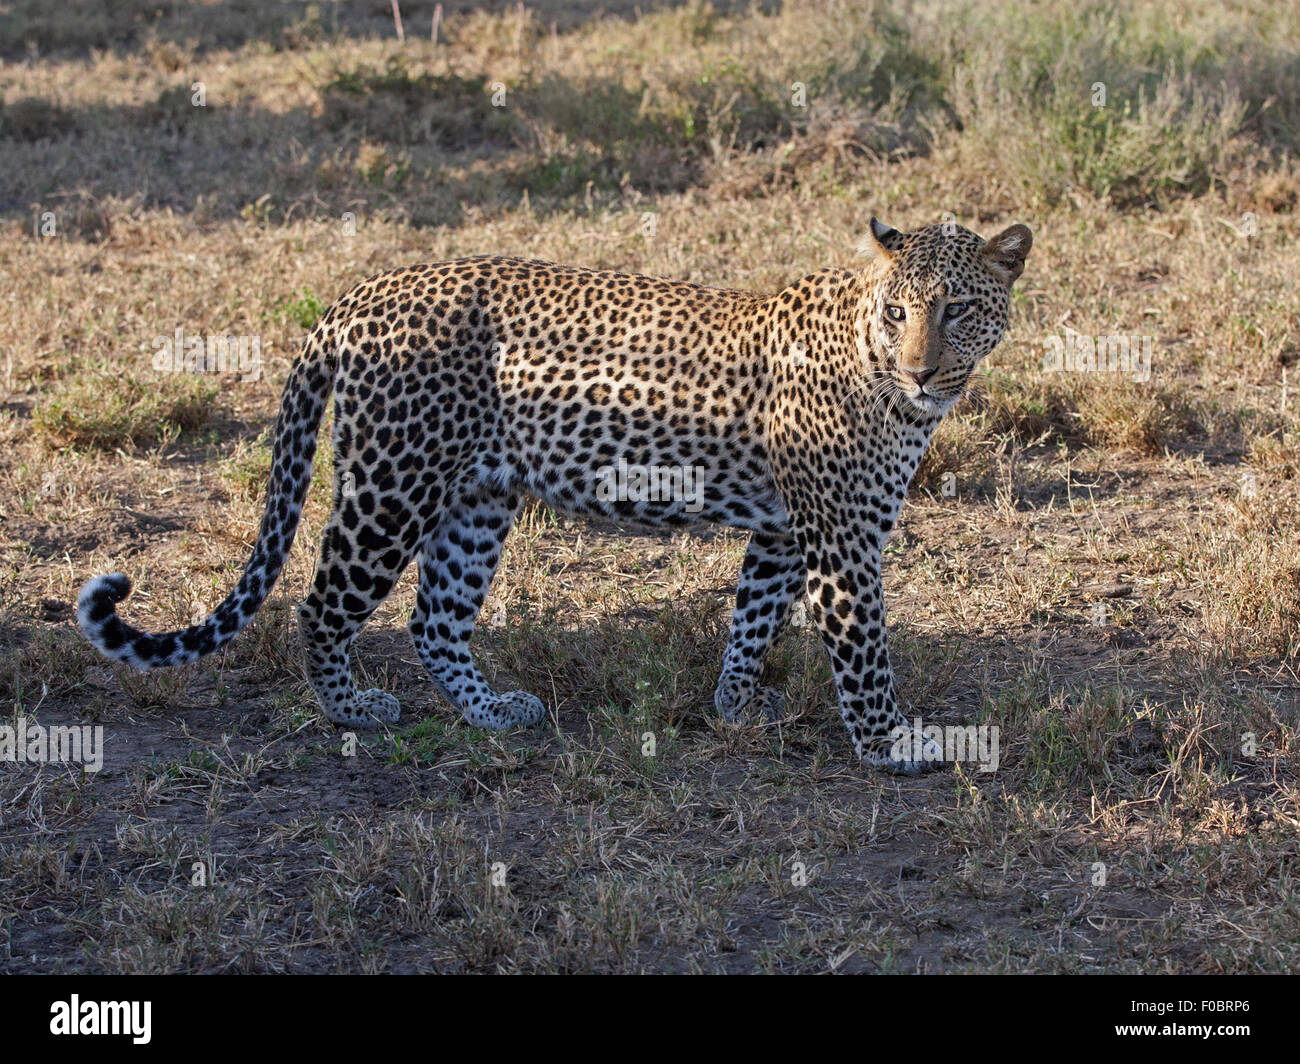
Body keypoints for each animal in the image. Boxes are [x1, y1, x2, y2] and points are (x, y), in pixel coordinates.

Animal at [78, 217, 1032, 772]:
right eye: (899, 312)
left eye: (954, 309)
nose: (921, 369)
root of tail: (356, 296)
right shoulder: (841, 539)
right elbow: (864, 652)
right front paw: (893, 744)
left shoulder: (787, 533)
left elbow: (753, 619)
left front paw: (733, 709)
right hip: (392, 485)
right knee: (319, 605)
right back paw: (351, 709)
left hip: (476, 500)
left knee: (435, 619)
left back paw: (494, 713)